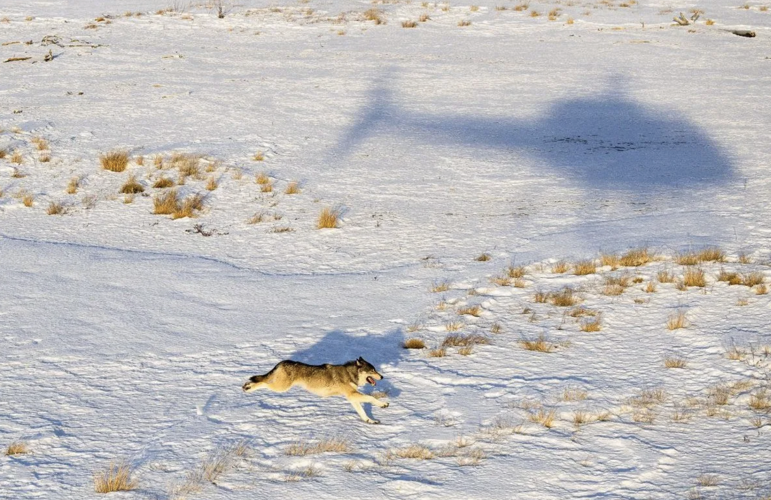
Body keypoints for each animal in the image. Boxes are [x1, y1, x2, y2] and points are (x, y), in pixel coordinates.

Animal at [242, 357, 389, 424]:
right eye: (373, 370)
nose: (382, 376)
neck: (350, 374)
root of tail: (282, 362)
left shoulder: (351, 397)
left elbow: (362, 412)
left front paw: (370, 421)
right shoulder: (352, 394)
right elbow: (371, 398)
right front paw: (383, 404)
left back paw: (246, 386)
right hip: (281, 387)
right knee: (262, 382)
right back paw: (247, 388)